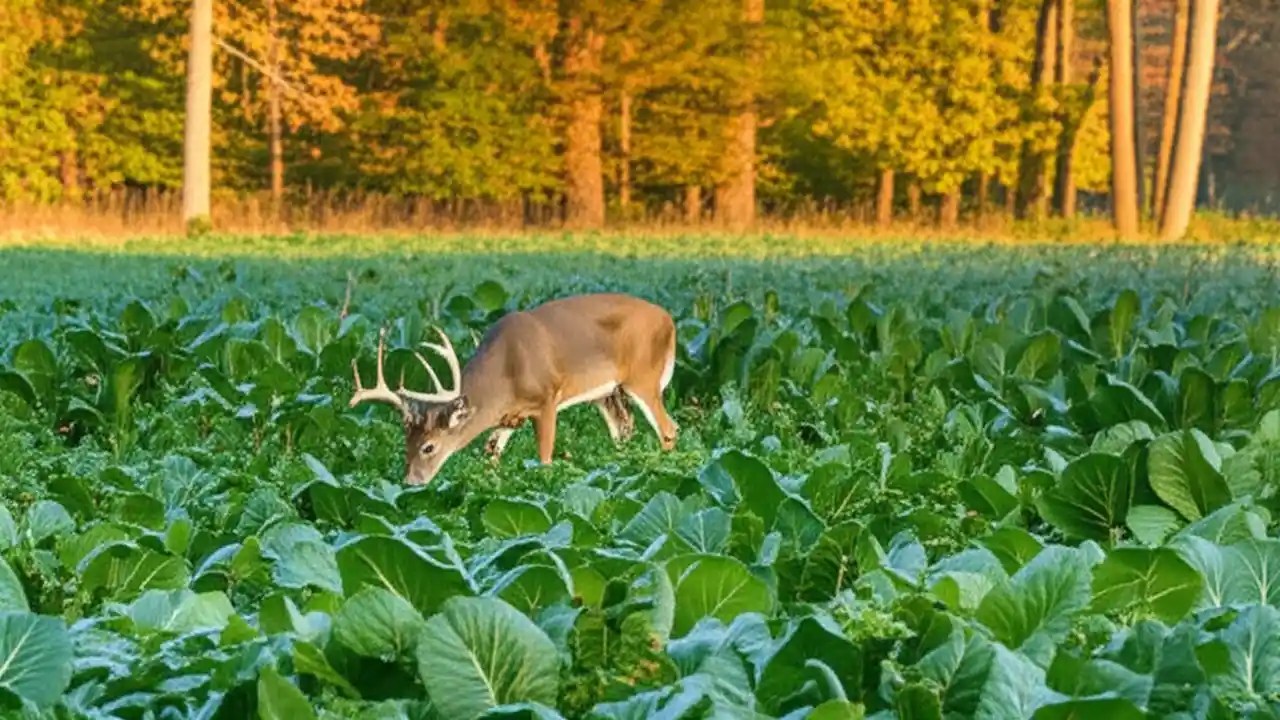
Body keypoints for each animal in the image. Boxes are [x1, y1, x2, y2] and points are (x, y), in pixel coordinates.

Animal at [348, 293, 679, 485]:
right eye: (406, 442)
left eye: (429, 446)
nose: (410, 482)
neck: (505, 374)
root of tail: (670, 321)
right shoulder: (509, 418)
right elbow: (491, 455)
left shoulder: (547, 399)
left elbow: (544, 459)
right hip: (606, 393)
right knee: (624, 429)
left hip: (644, 377)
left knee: (669, 428)